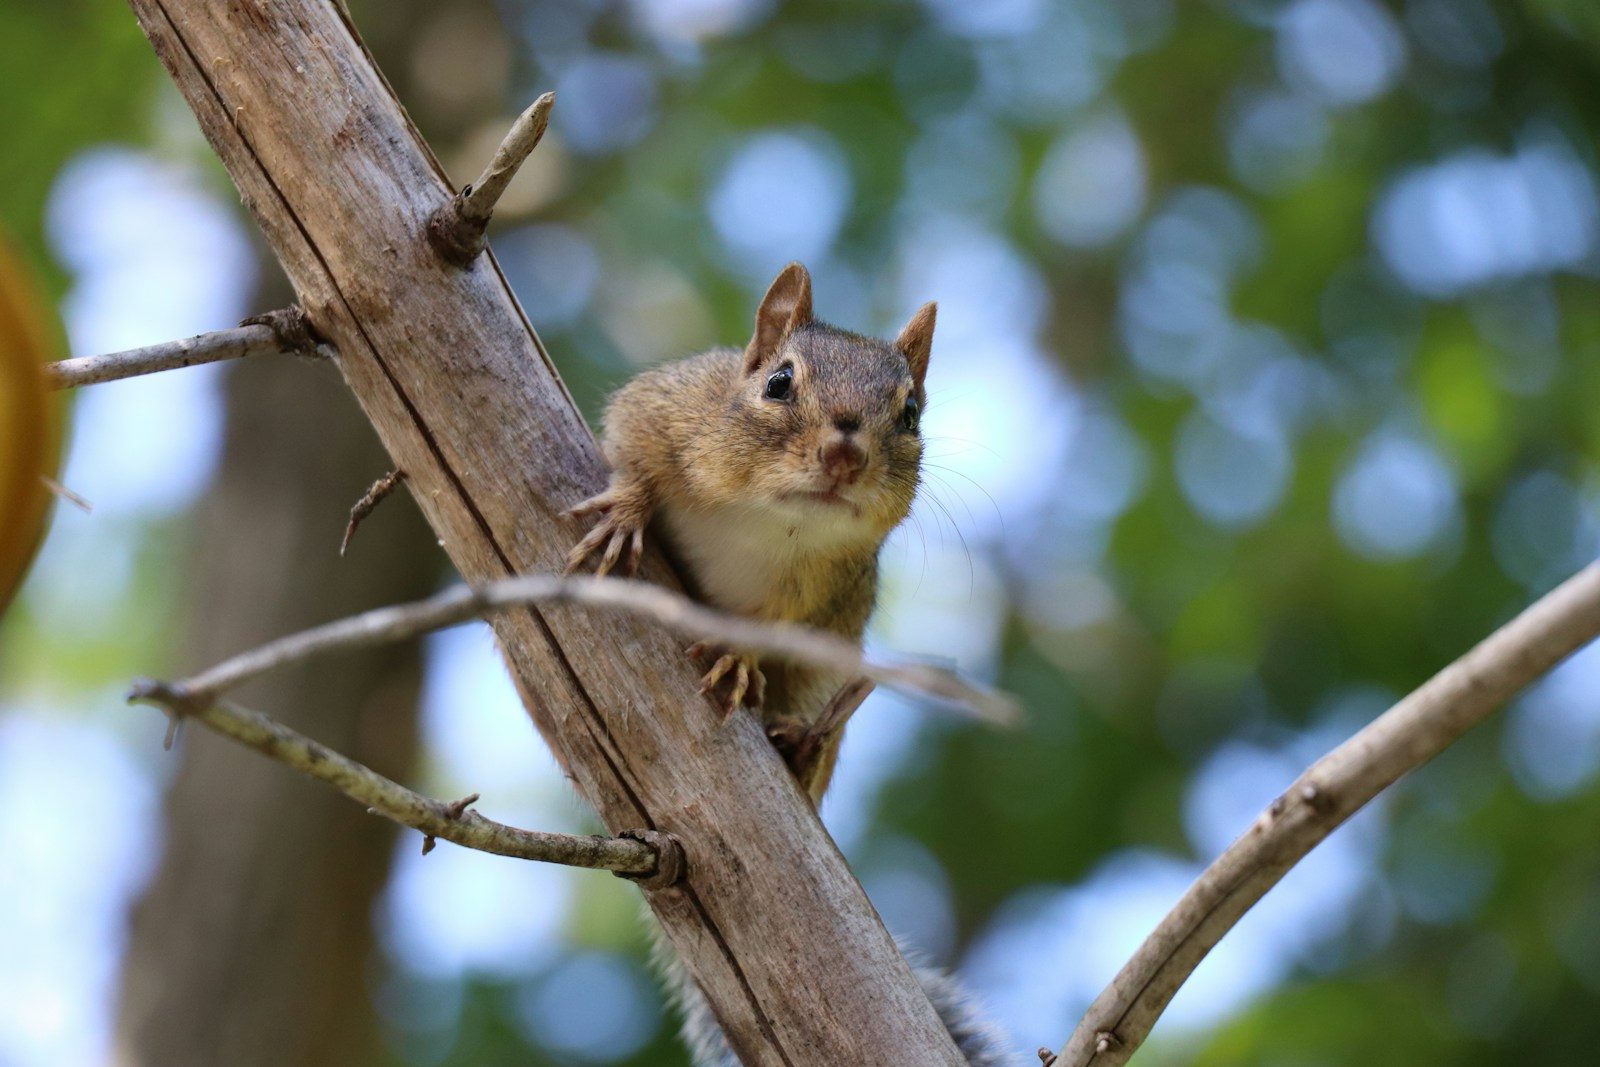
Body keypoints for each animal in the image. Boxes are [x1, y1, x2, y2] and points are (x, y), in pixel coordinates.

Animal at [568, 262, 1013, 1065]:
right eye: (778, 382)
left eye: (910, 413)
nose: (845, 455)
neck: (774, 515)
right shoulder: (669, 405)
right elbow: (631, 439)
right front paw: (626, 510)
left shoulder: (820, 590)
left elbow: (774, 626)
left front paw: (741, 655)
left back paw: (798, 748)